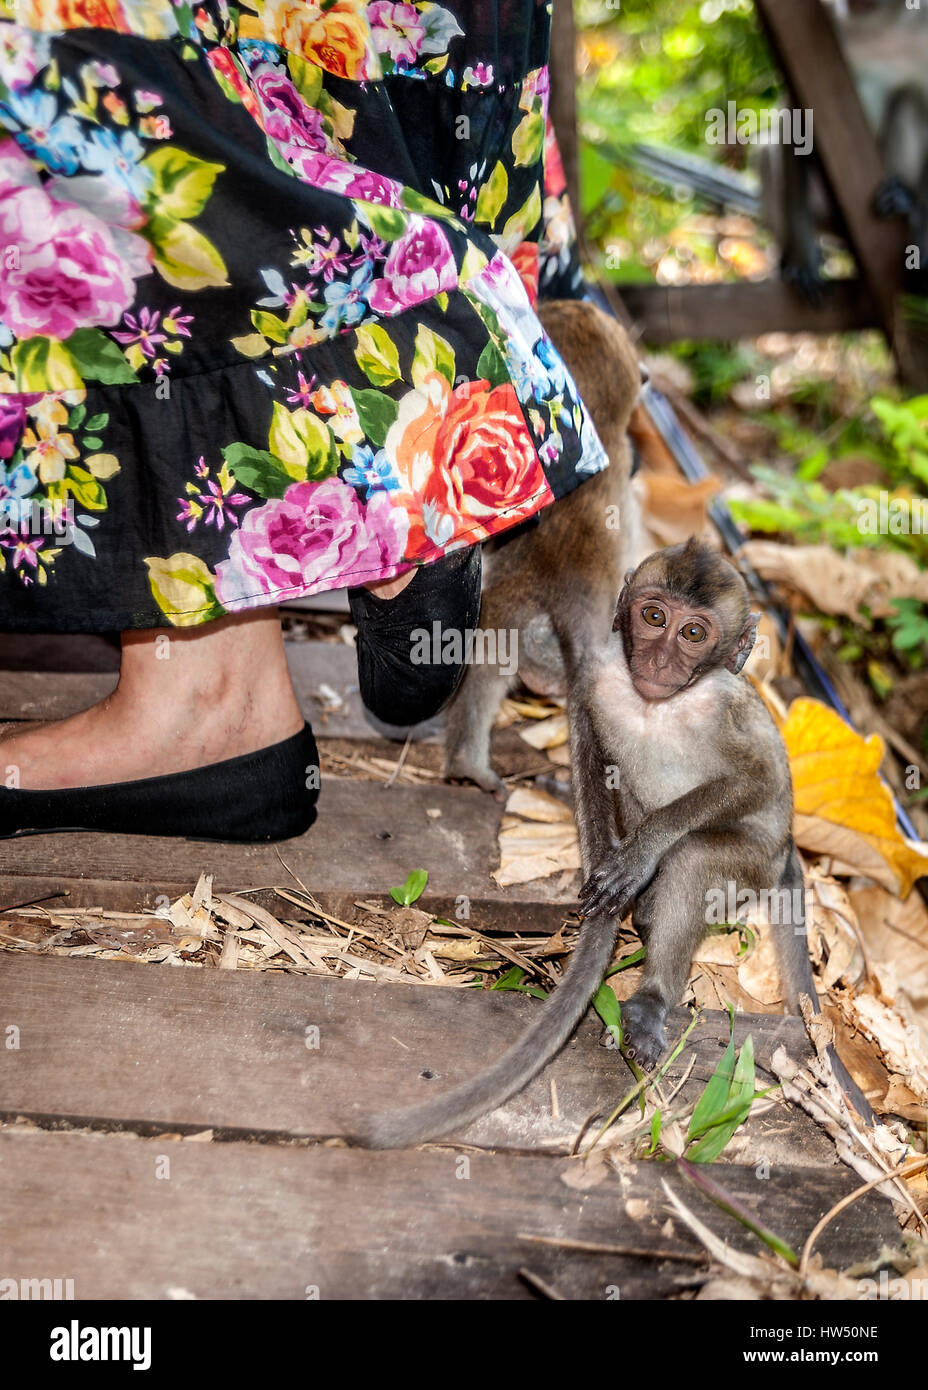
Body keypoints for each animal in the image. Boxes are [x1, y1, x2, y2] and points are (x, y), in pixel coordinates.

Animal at [352, 540, 870, 1148]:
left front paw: (642, 854)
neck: (658, 704)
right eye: (654, 617)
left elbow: (757, 781)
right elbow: (593, 759)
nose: (661, 660)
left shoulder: (727, 711)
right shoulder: (595, 680)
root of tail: (788, 851)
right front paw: (607, 862)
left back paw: (652, 997)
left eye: (693, 633)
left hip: (758, 863)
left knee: (697, 856)